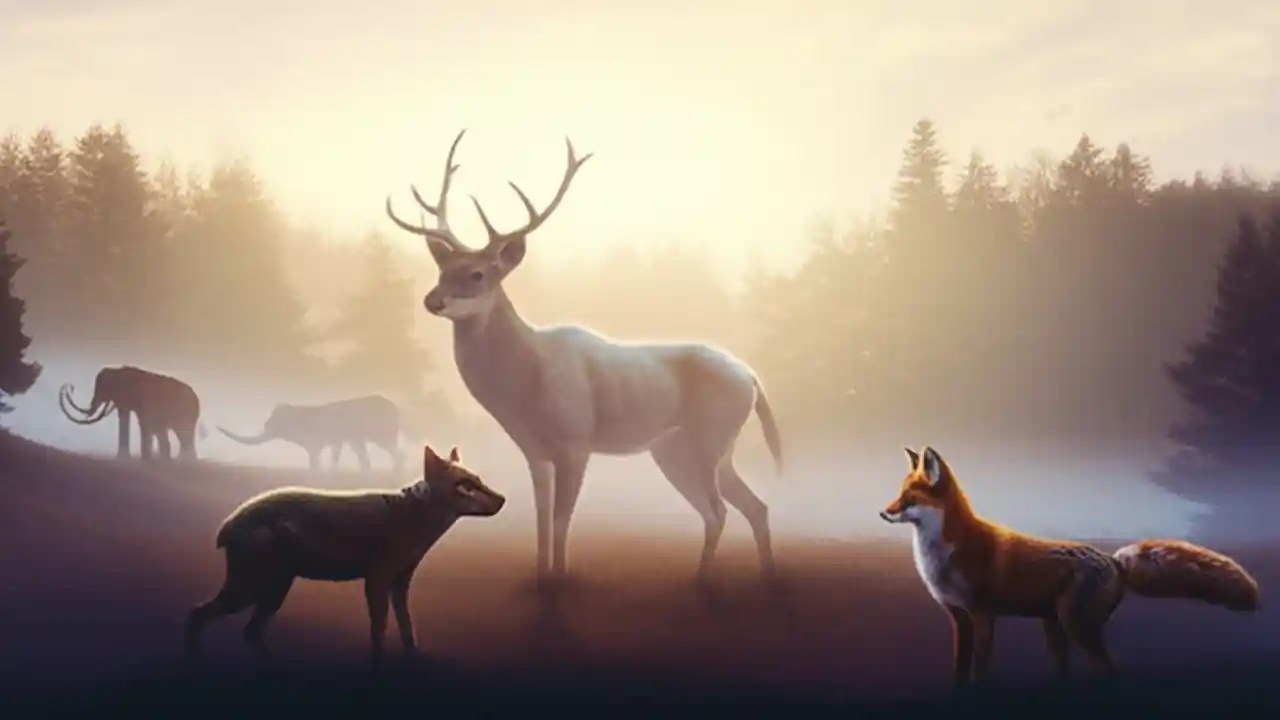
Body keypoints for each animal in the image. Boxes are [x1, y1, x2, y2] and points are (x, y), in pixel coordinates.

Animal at [183, 443, 505, 666]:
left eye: (480, 481)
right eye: (465, 487)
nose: (502, 499)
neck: (416, 516)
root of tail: (229, 523)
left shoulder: (401, 581)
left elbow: (406, 624)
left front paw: (413, 657)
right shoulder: (377, 580)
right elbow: (379, 627)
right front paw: (378, 666)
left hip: (274, 588)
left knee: (248, 631)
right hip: (256, 587)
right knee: (200, 613)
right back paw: (196, 663)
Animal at [385, 131, 783, 592]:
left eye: (478, 274)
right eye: (441, 268)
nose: (433, 300)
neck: (525, 382)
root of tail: (752, 377)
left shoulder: (575, 441)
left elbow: (561, 519)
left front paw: (560, 580)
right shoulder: (533, 450)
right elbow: (541, 519)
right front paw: (540, 576)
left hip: (709, 437)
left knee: (720, 511)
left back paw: (704, 583)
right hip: (680, 449)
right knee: (751, 507)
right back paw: (767, 579)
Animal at [881, 446, 1259, 689]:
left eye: (909, 499)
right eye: (898, 496)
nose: (883, 513)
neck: (942, 557)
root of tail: (1114, 560)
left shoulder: (984, 615)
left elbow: (980, 671)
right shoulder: (959, 618)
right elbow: (959, 669)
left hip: (1076, 626)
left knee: (1110, 671)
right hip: (1055, 627)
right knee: (1068, 673)